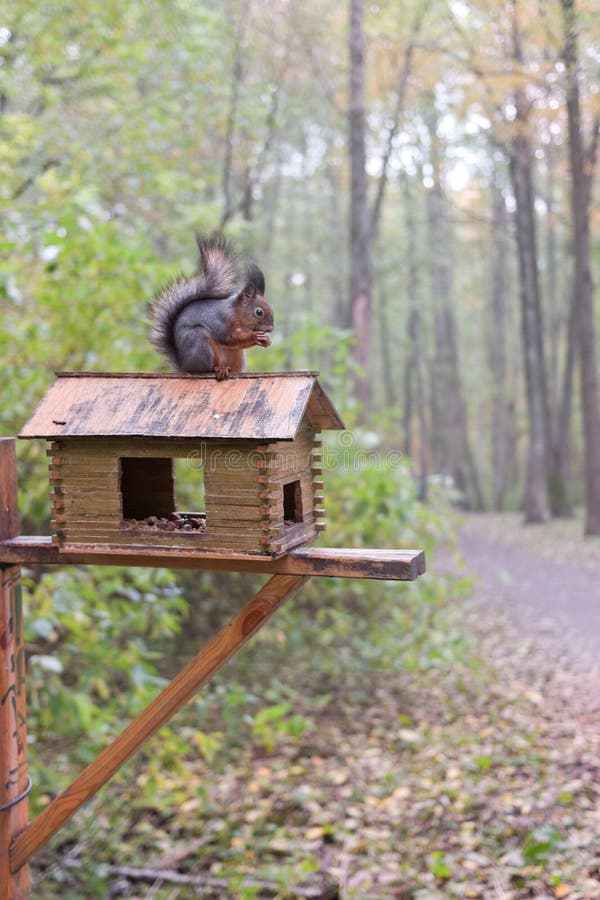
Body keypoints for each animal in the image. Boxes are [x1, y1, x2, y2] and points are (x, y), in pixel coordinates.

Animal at [149, 233, 273, 380]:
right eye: (259, 312)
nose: (270, 329)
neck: (235, 314)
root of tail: (184, 366)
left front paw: (265, 340)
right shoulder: (219, 322)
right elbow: (228, 338)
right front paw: (255, 337)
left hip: (237, 355)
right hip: (199, 341)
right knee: (204, 370)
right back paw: (218, 369)